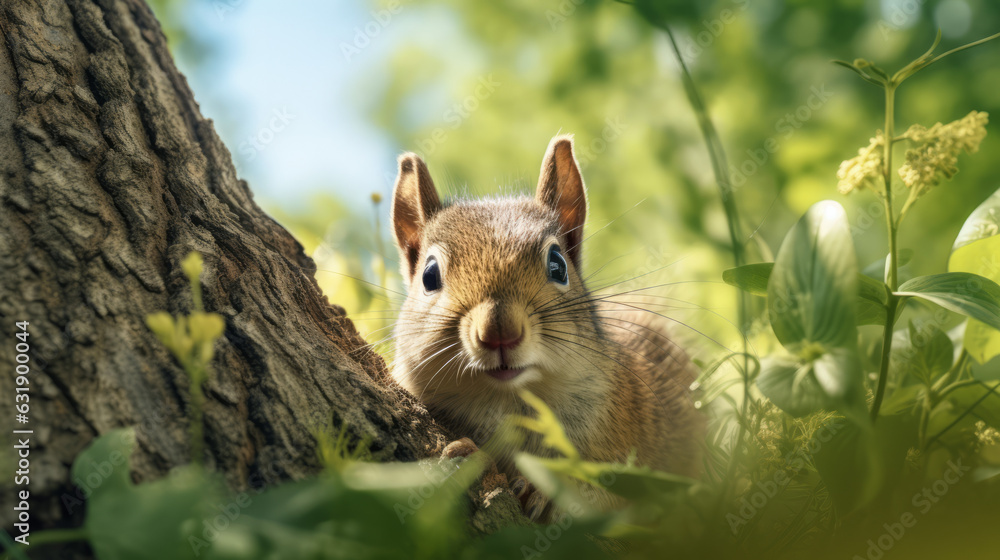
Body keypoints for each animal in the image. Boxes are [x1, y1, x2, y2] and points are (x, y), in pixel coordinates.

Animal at [388, 135, 704, 521]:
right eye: (429, 276)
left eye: (558, 265)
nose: (500, 331)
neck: (513, 401)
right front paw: (469, 453)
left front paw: (545, 492)